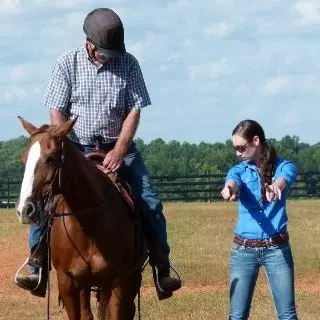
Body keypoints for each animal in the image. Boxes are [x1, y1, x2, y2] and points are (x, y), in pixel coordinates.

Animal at [14, 116, 146, 318]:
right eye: (24, 158)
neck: (90, 225)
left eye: (51, 158)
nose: (25, 209)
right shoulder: (67, 281)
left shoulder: (120, 281)